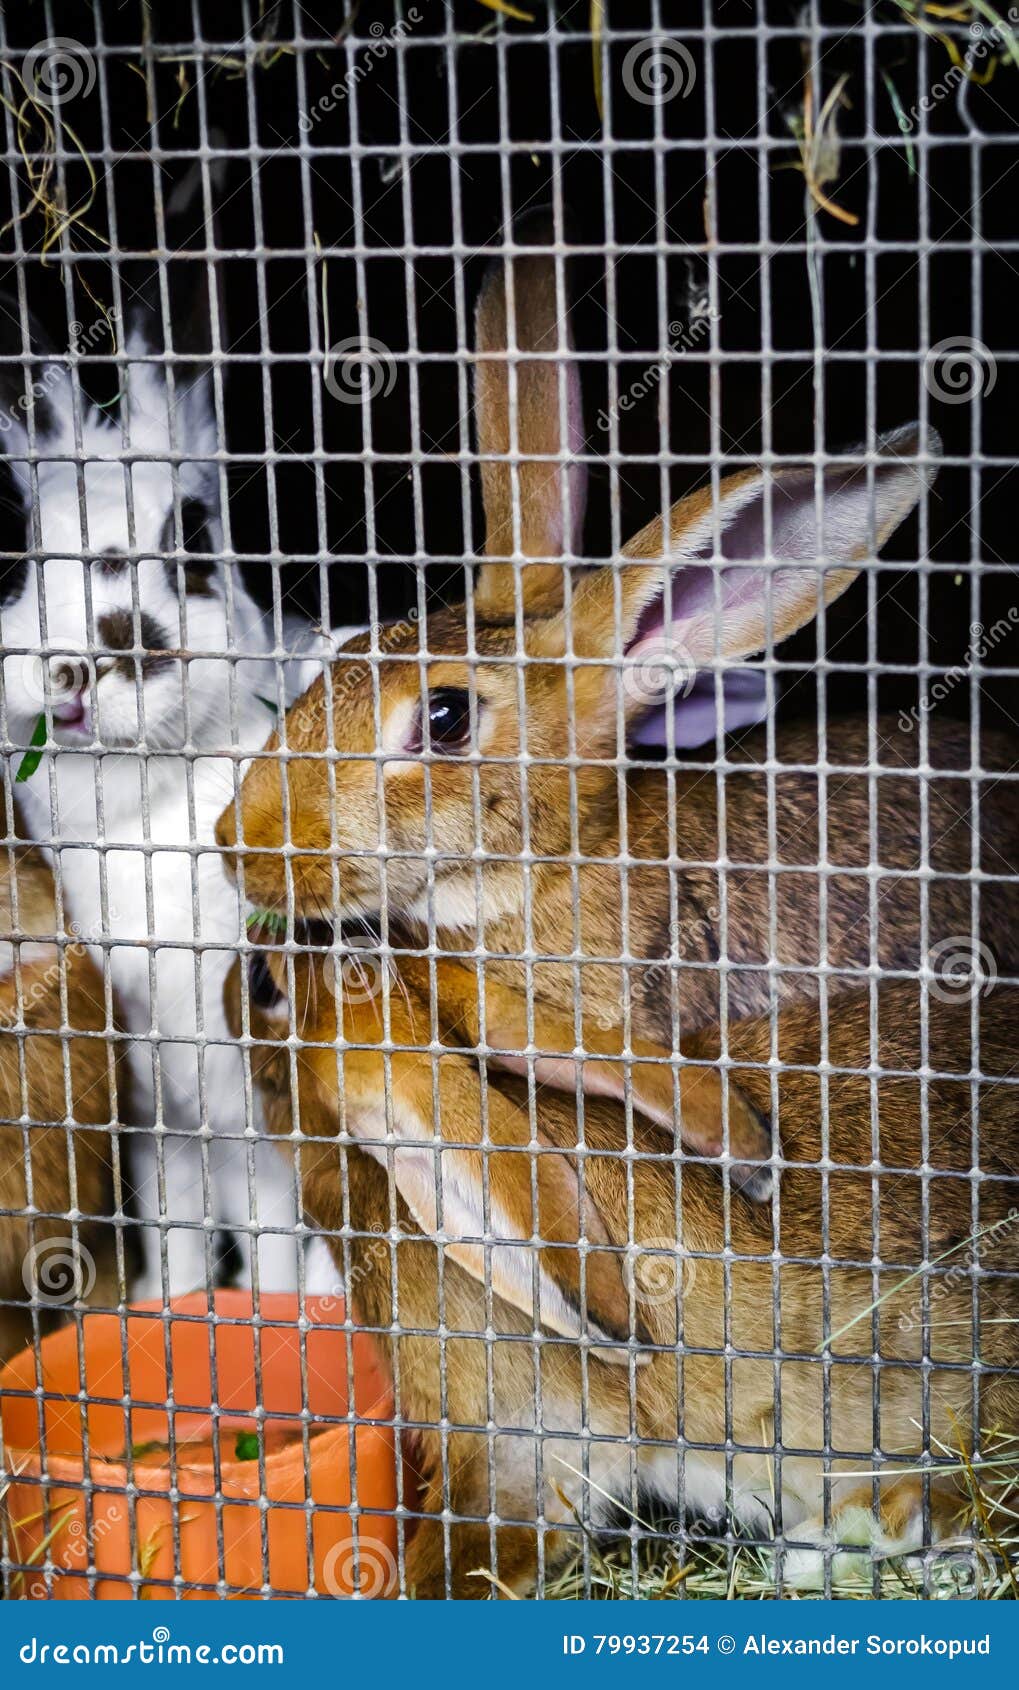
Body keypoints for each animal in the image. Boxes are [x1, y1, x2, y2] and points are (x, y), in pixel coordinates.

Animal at [0, 156, 347, 1298]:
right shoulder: (163, 1111)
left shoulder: (264, 1108)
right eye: (29, 553)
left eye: (188, 538)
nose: (69, 672)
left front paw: (290, 1319)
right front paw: (174, 1306)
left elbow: (299, 1234)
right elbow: (178, 1223)